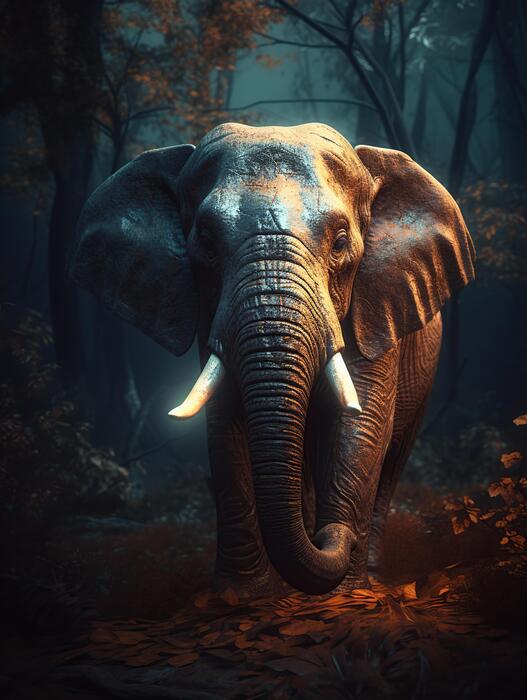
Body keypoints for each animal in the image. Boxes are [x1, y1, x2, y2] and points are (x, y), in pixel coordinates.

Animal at [70, 122, 475, 597]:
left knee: (392, 459)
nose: (333, 536)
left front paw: (342, 599)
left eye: (341, 242)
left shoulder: (375, 305)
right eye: (205, 240)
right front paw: (241, 596)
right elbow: (227, 424)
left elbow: (362, 421)